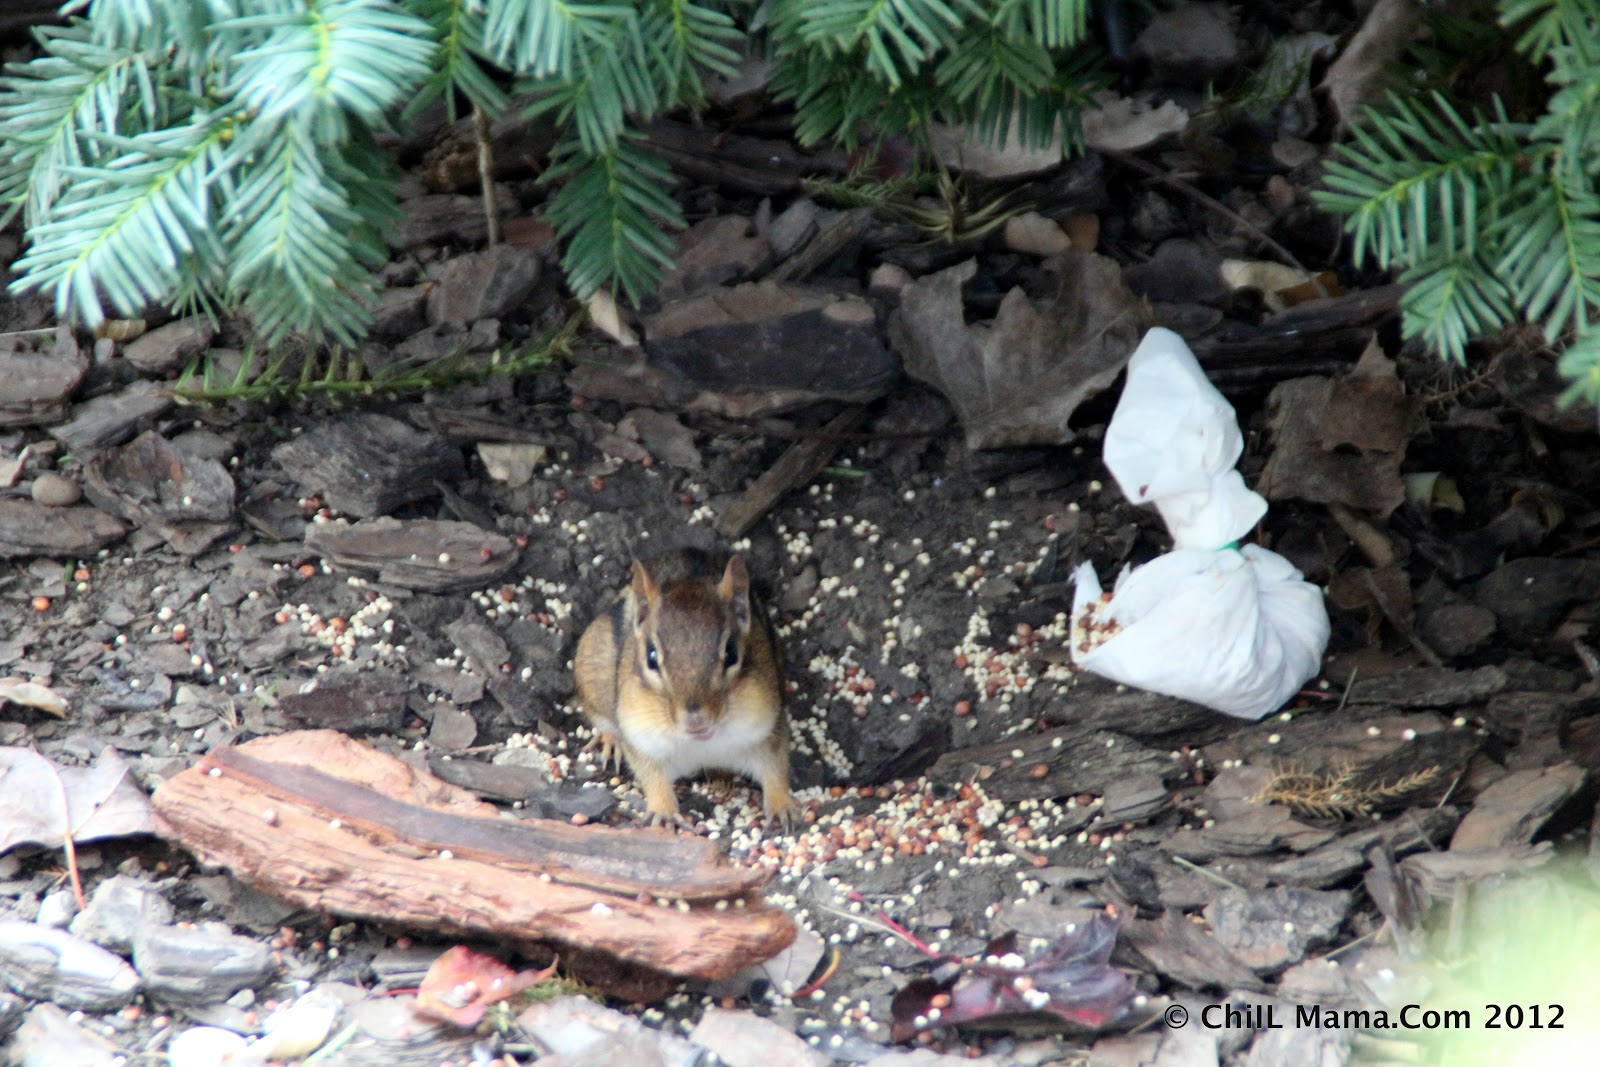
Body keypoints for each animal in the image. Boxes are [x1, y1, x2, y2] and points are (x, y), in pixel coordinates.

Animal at [573, 548, 796, 829]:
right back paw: (611, 743)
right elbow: (652, 776)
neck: (701, 744)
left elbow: (775, 769)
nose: (696, 721)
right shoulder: (641, 738)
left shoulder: (769, 726)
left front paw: (781, 806)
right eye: (651, 657)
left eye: (732, 653)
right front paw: (663, 811)